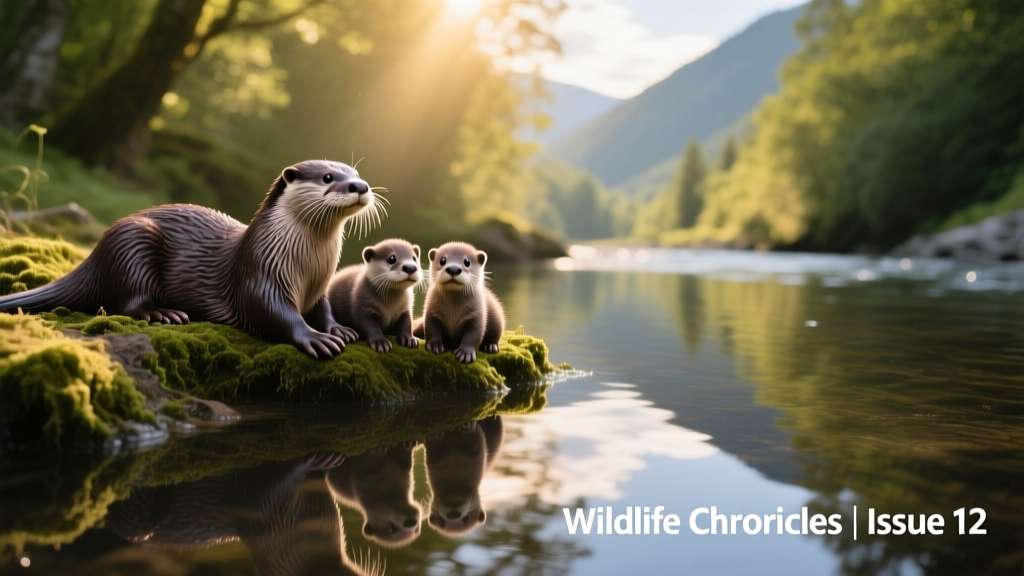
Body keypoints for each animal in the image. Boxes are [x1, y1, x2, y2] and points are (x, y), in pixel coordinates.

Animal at [0, 160, 385, 359]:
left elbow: (323, 308)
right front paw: (314, 338)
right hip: (131, 245)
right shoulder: (260, 274)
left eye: (355, 173)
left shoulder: (319, 288)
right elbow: (274, 313)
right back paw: (163, 313)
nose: (361, 185)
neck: (307, 268)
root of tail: (95, 252)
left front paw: (337, 328)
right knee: (125, 302)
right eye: (328, 177)